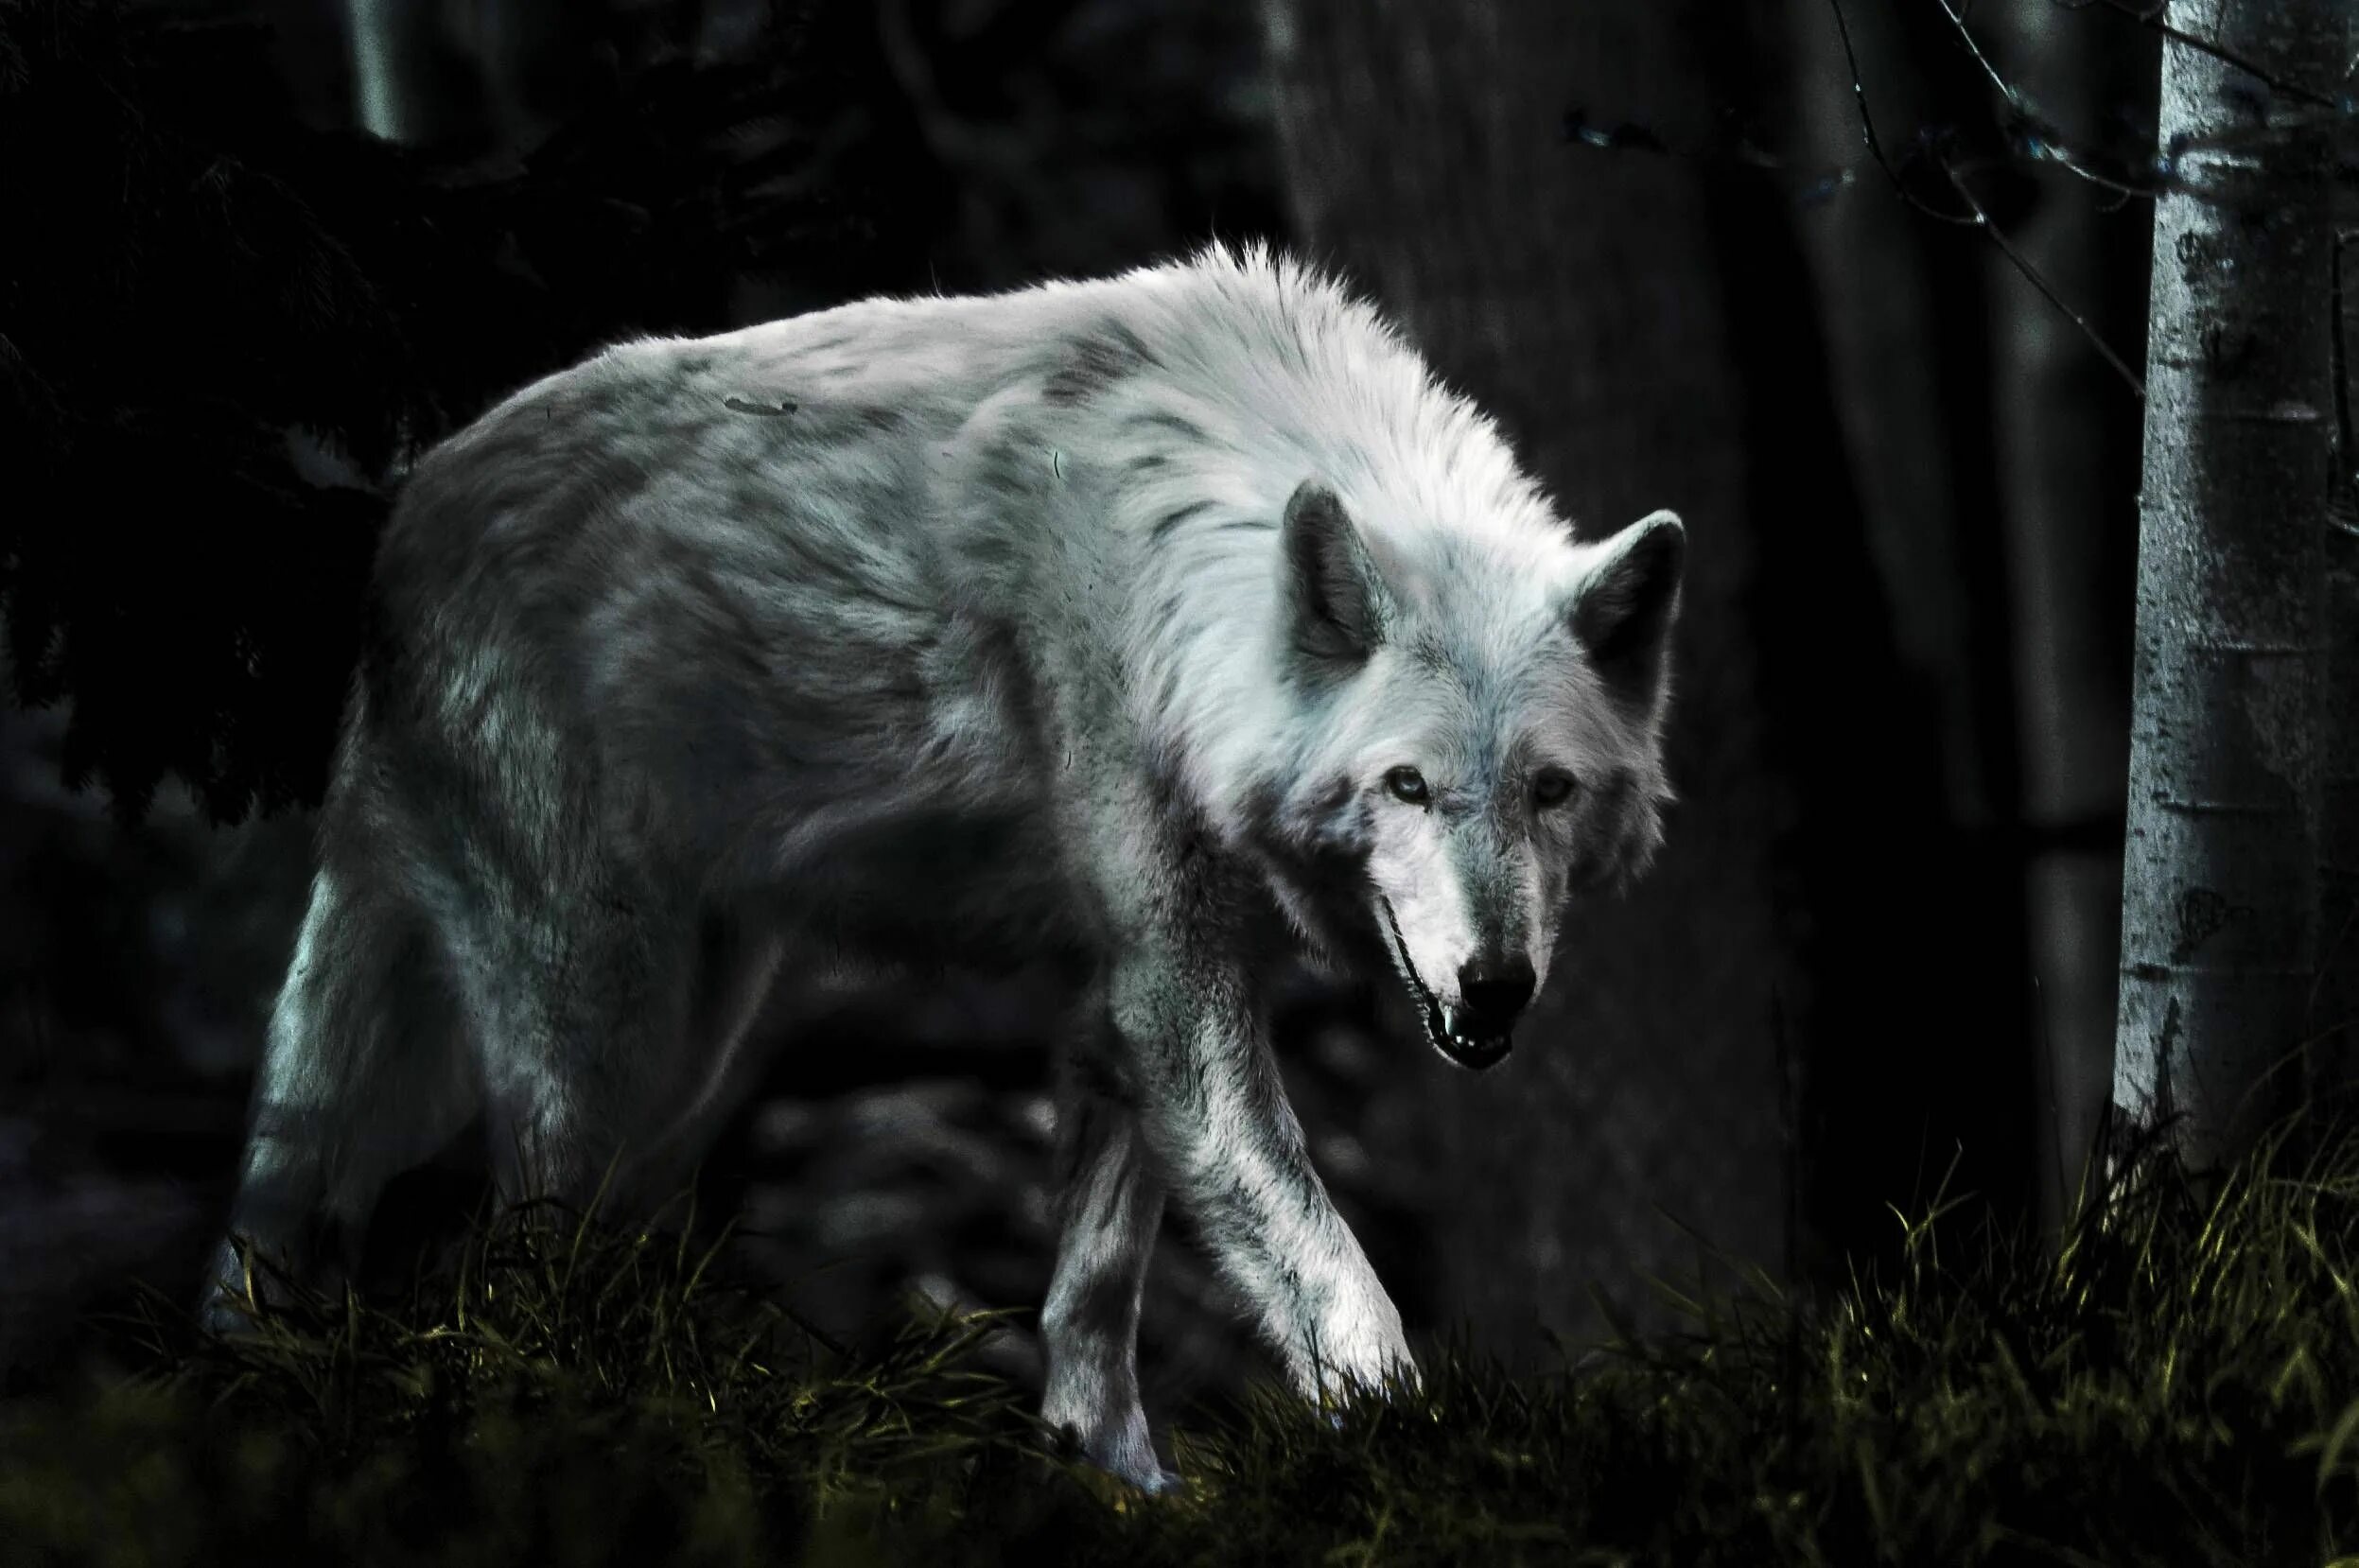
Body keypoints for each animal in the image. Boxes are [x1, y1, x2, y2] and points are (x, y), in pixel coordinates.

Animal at [199, 243, 1686, 1493]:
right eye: (1405, 786)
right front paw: (1419, 1461)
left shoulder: (1124, 1004)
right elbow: (1335, 1274)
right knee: (507, 1267)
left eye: (1549, 791)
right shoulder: (1174, 998)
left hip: (690, 1055)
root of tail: (398, 529)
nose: (1494, 987)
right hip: (595, 1042)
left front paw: (1113, 1483)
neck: (1182, 560)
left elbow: (1091, 1300)